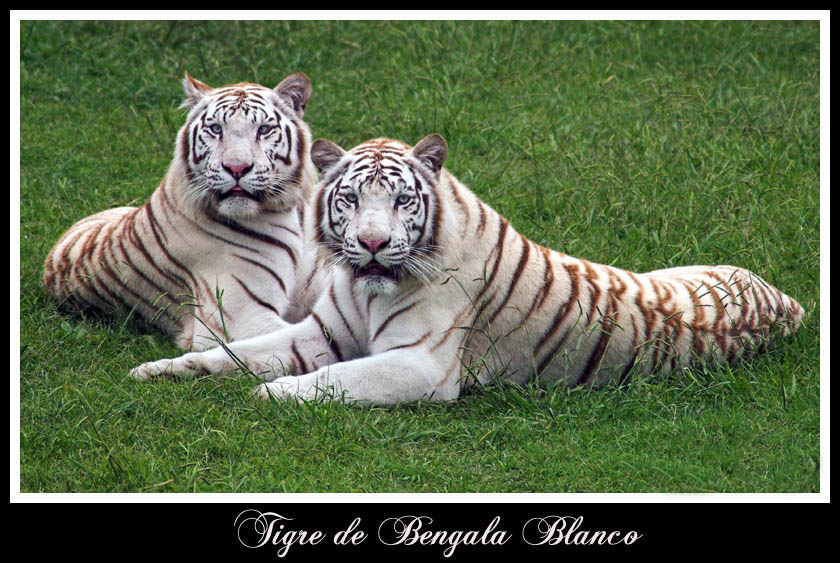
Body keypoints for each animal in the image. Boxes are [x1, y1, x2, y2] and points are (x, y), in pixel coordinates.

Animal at [130, 134, 805, 406]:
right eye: (350, 199)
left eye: (402, 200)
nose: (371, 244)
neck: (367, 289)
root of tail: (788, 301)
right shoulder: (318, 332)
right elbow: (235, 353)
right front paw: (162, 371)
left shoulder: (421, 366)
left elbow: (331, 380)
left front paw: (271, 394)